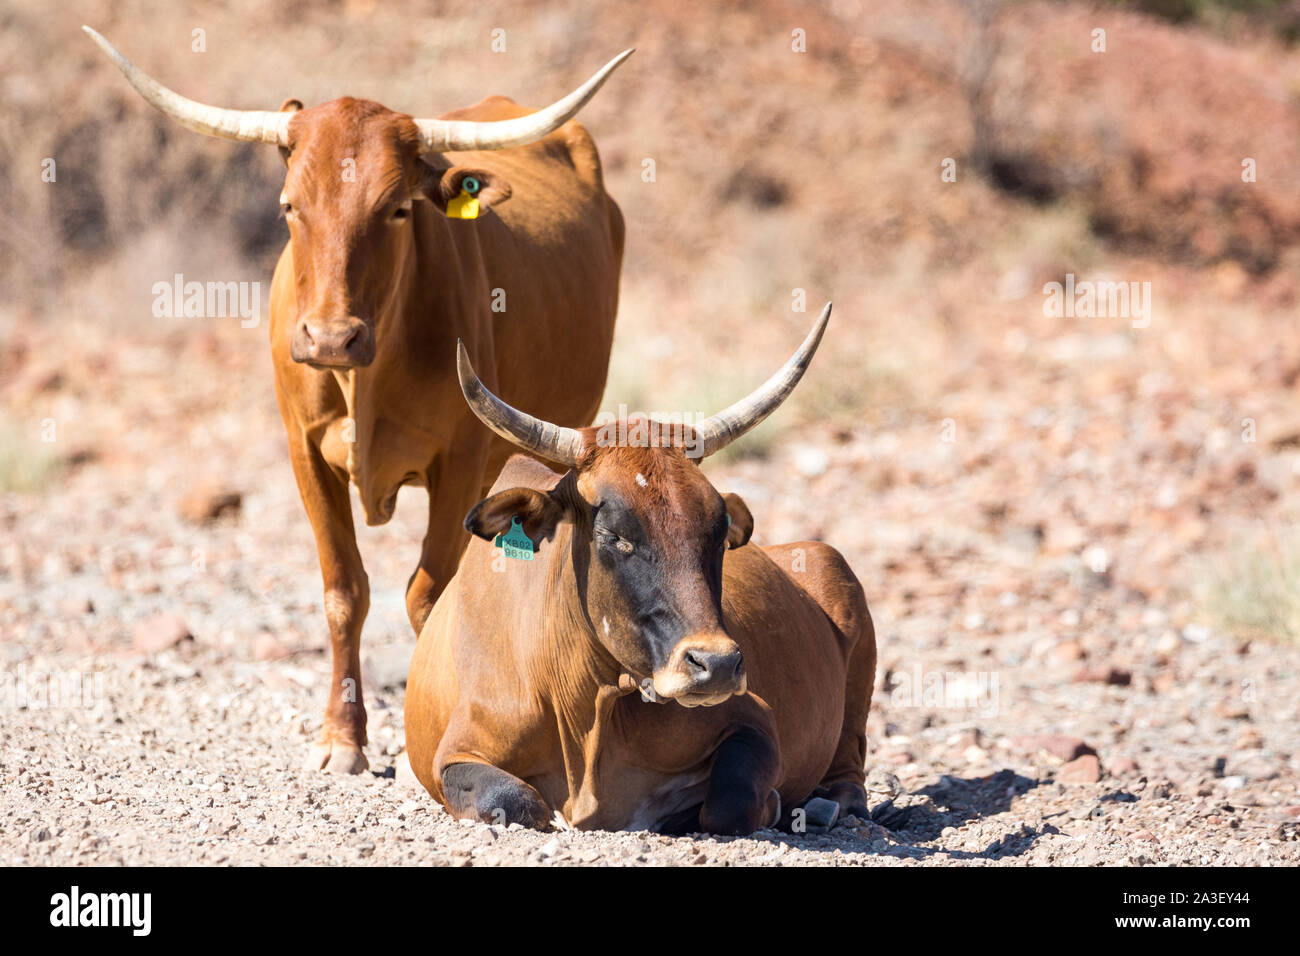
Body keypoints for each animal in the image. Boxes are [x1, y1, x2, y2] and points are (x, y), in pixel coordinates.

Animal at [85, 27, 631, 773]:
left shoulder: (460, 462)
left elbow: (429, 594)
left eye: (397, 209)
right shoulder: (304, 453)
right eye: (289, 207)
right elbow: (344, 590)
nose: (329, 337)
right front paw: (343, 739)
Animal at [405, 304, 879, 834]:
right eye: (616, 535)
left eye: (717, 530)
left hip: (837, 577)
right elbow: (518, 800)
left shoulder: (754, 719)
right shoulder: (454, 754)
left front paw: (768, 804)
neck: (589, 711)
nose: (716, 665)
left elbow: (730, 800)